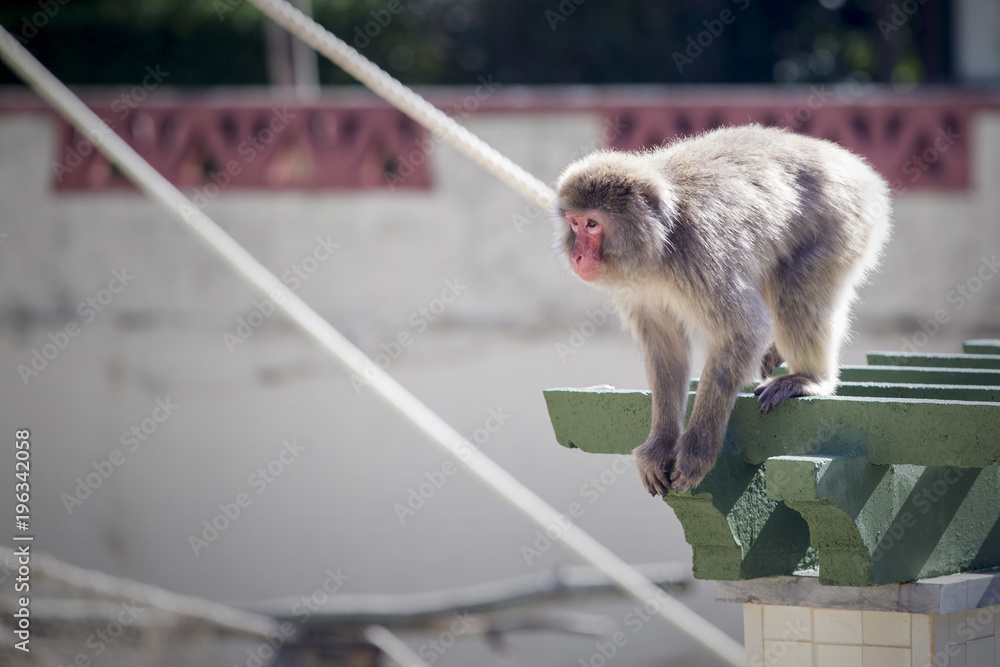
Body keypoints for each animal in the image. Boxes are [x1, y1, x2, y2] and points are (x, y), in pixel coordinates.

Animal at [553, 124, 891, 496]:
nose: (578, 256)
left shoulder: (702, 252)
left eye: (593, 224)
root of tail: (862, 172)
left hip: (842, 223)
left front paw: (698, 450)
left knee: (796, 288)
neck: (661, 243)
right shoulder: (635, 287)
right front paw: (659, 445)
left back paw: (811, 378)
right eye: (574, 223)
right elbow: (666, 346)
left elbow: (744, 330)